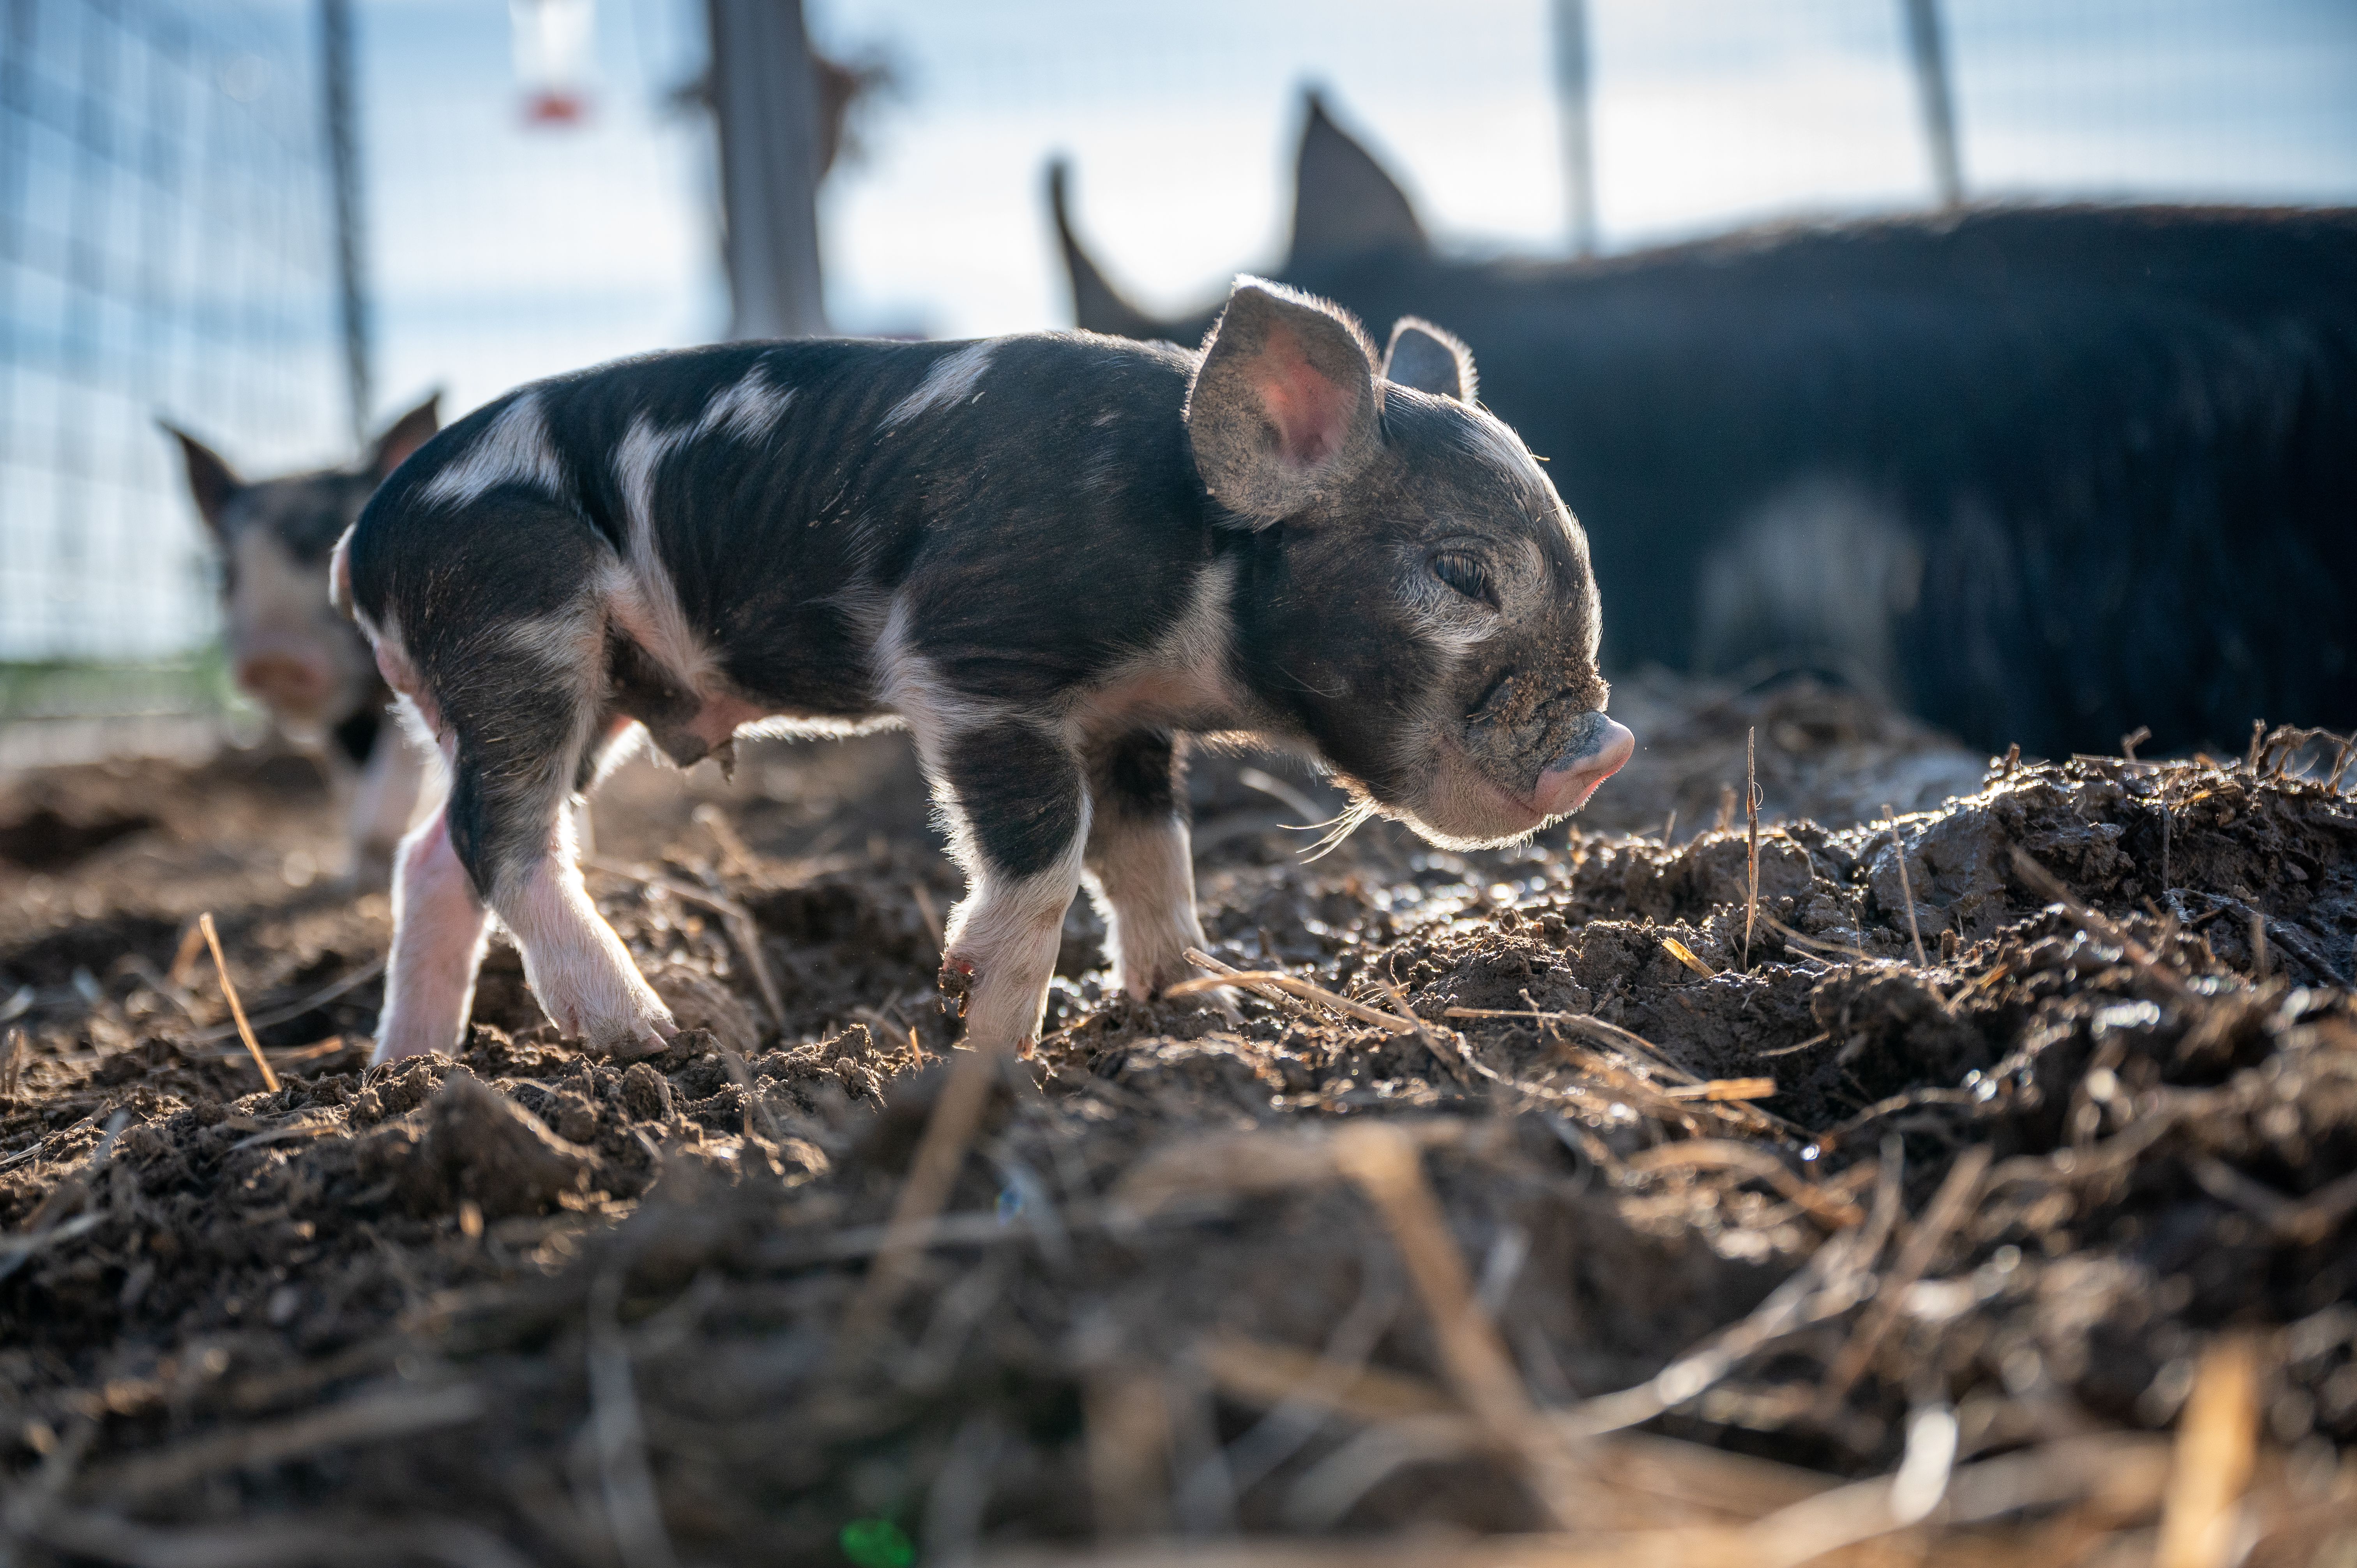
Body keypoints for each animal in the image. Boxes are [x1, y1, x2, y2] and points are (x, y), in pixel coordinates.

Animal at [164, 397, 441, 879]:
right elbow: (349, 783)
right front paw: (353, 875)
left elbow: (396, 769)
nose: (275, 653)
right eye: (227, 573)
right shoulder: (339, 728)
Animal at [334, 280, 1633, 1063]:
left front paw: (1194, 1008)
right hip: (518, 622)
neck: (1193, 562)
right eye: (1462, 573)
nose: (1609, 749)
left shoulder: (1125, 723)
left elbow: (1154, 860)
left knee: (433, 853)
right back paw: (649, 1035)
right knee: (500, 837)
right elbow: (1047, 857)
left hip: (576, 684)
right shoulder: (974, 656)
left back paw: (414, 1071)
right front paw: (990, 1047)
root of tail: (365, 542)